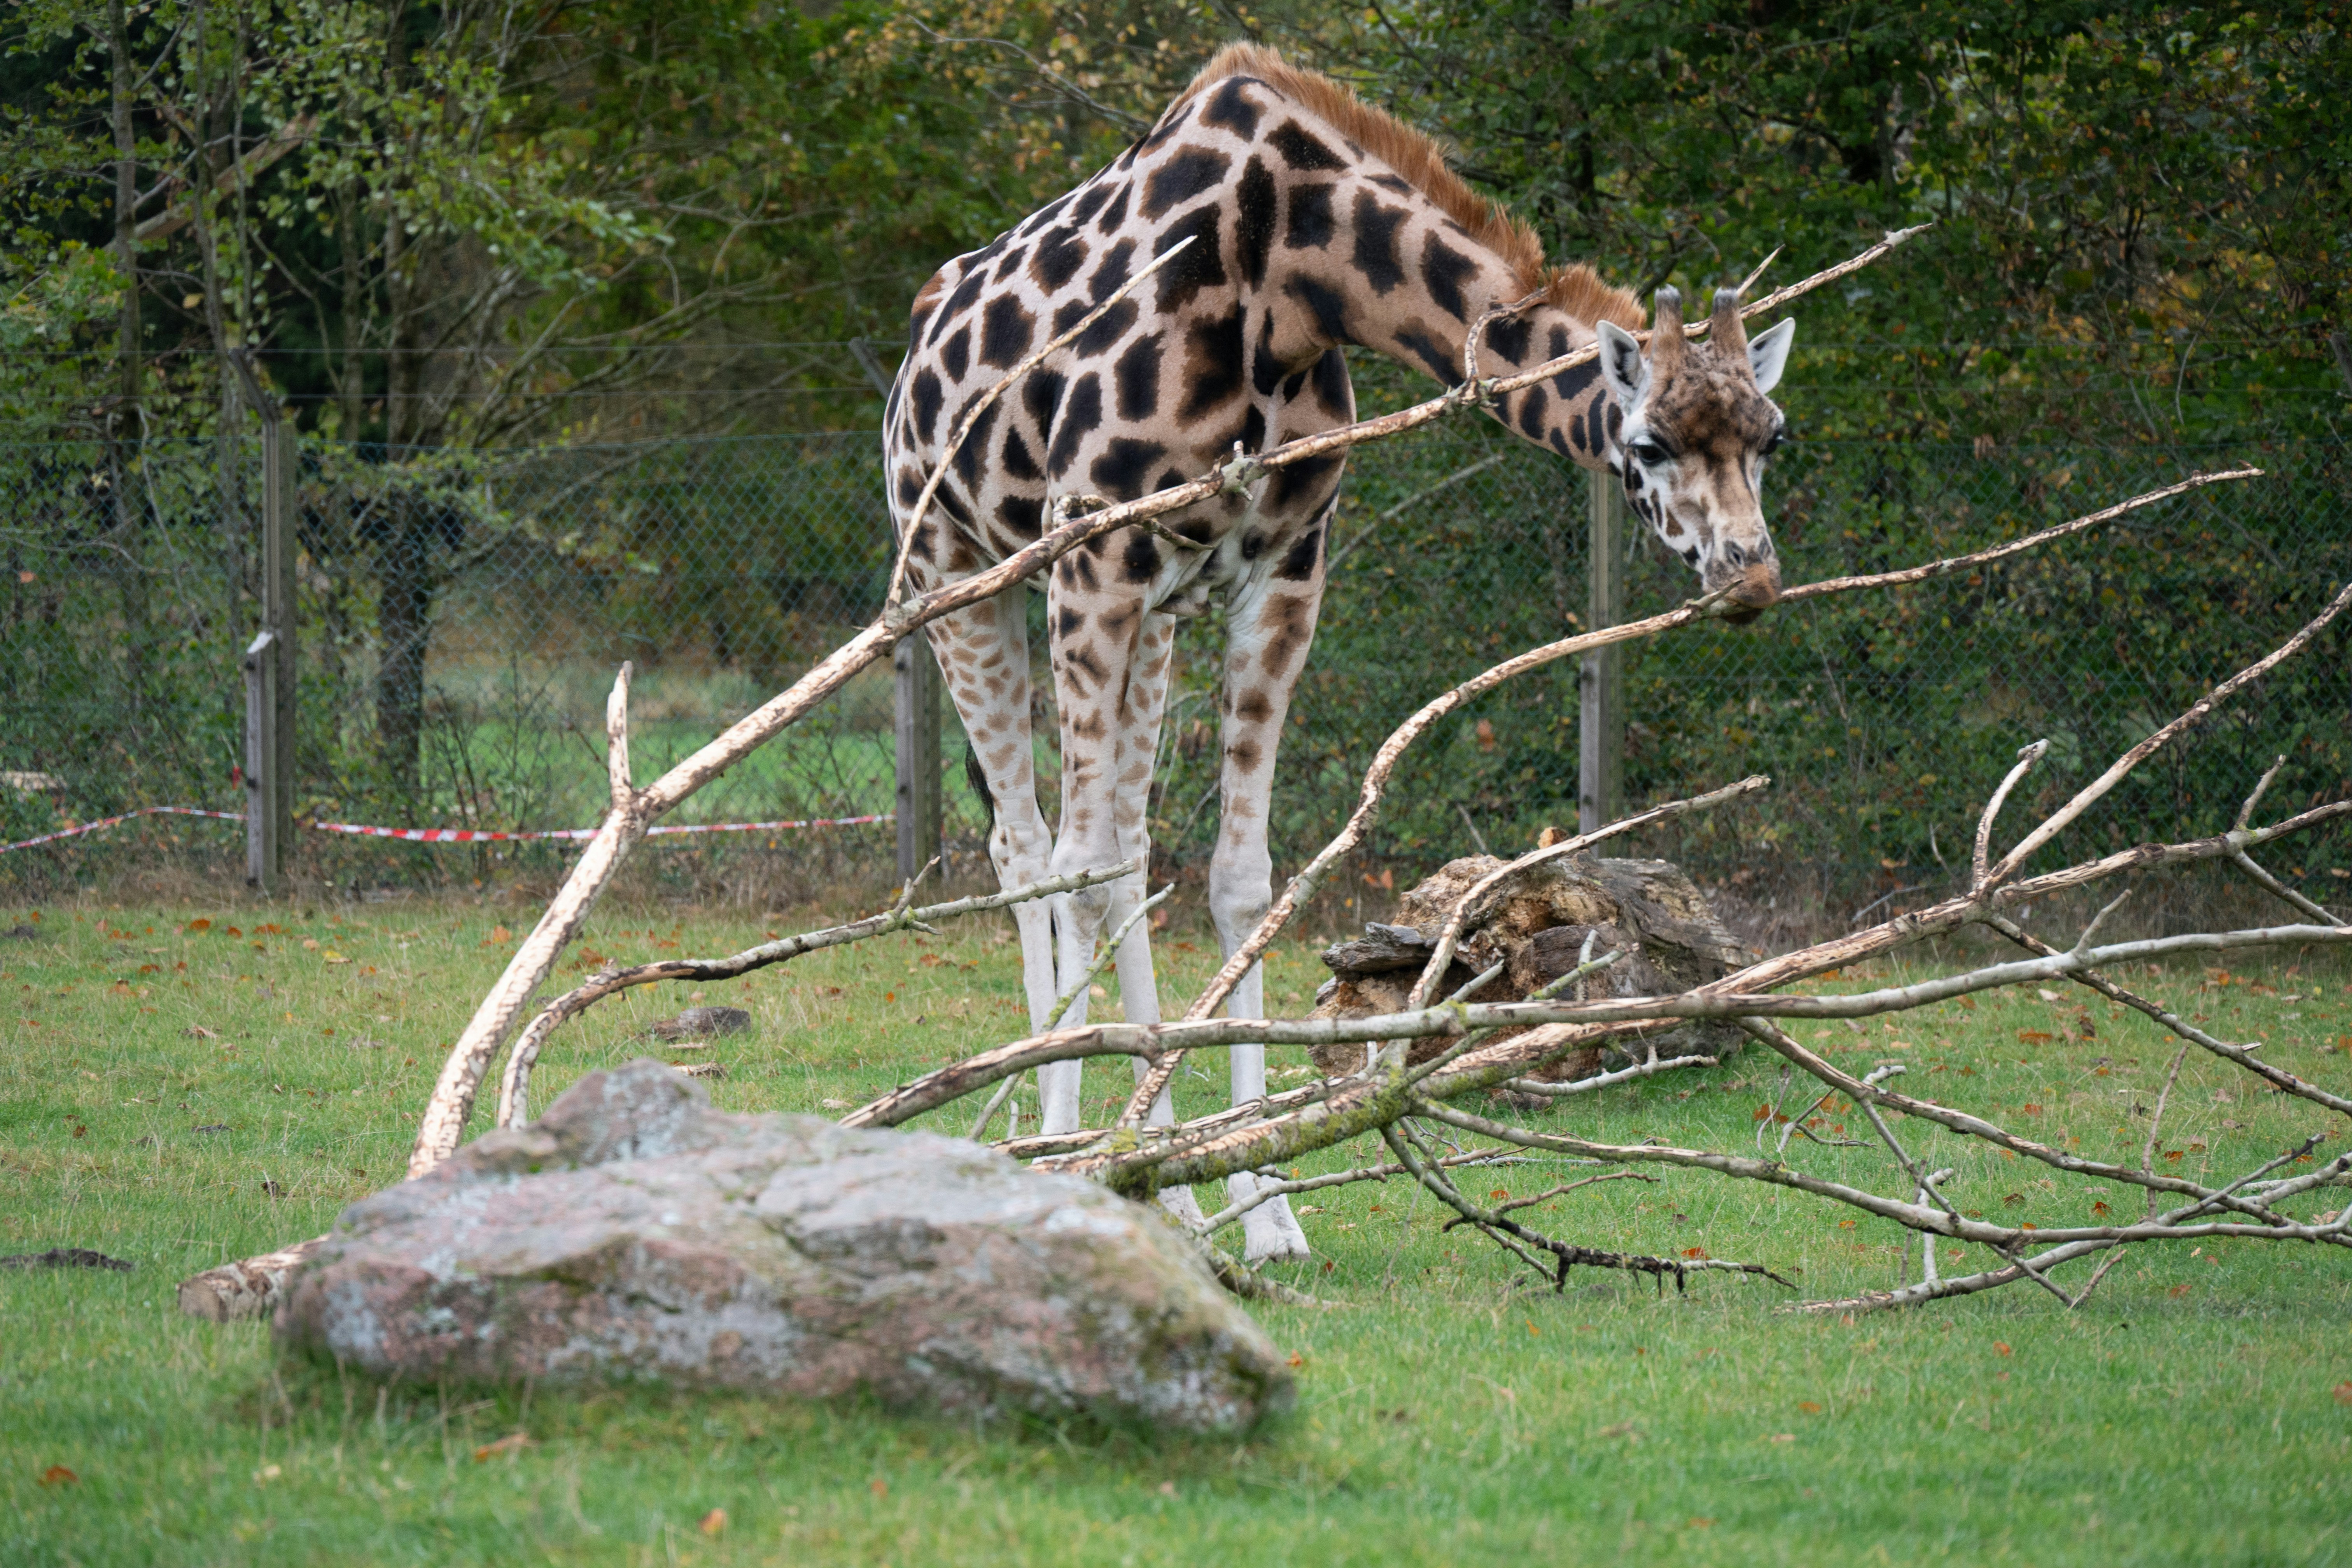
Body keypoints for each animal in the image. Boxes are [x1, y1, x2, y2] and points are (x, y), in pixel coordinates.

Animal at [883, 44, 1799, 1261]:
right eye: (1650, 442)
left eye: (1771, 435)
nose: (1750, 575)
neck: (1290, 274)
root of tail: (913, 345)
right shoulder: (1095, 560)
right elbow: (1076, 872)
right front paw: (1083, 1166)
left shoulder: (1280, 569)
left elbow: (1239, 877)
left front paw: (1260, 1211)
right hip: (956, 577)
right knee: (1031, 851)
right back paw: (1052, 1131)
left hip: (1154, 619)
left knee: (1125, 847)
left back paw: (1162, 1182)